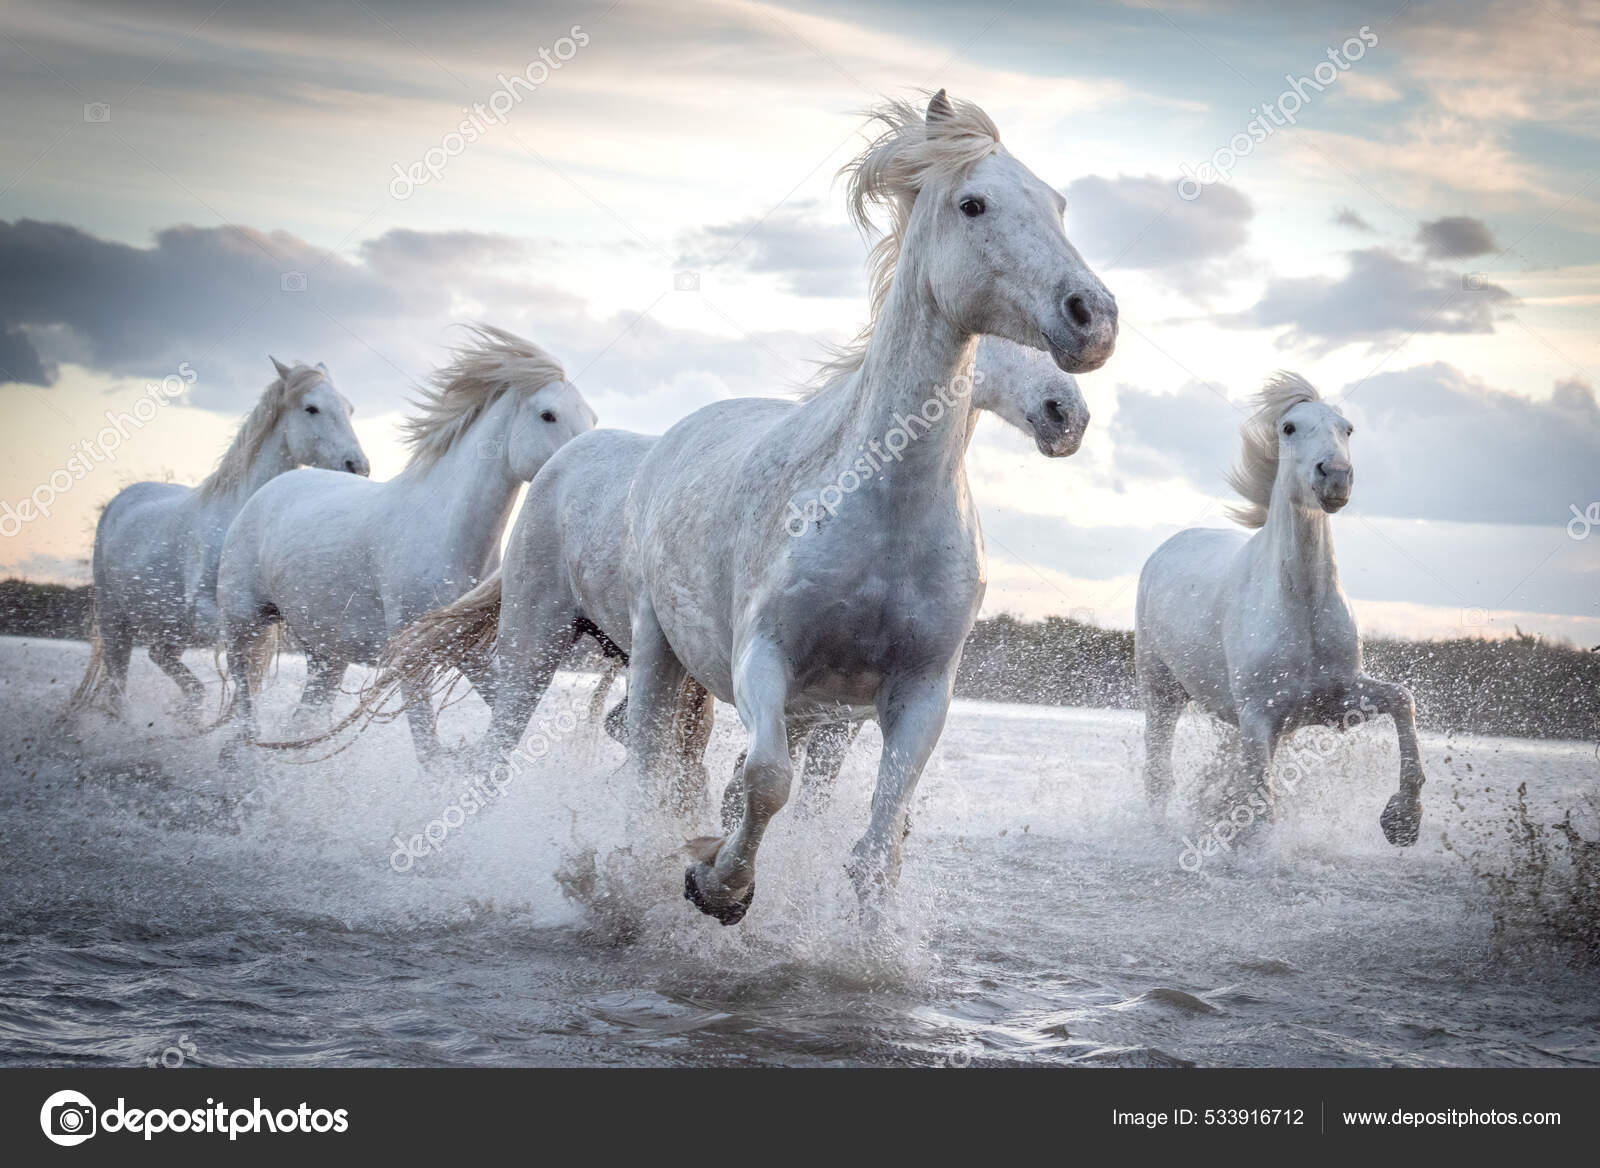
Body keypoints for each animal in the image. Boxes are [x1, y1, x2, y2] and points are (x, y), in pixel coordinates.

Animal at [68, 358, 369, 719]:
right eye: (311, 408)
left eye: (349, 408)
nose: (358, 466)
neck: (239, 516)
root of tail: (120, 501)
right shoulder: (212, 613)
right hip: (116, 621)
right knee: (118, 685)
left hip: (169, 627)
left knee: (162, 658)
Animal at [212, 326, 596, 762]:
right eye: (548, 414)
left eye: (591, 416)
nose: (582, 473)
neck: (446, 534)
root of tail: (264, 493)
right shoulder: (412, 657)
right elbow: (429, 755)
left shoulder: (469, 651)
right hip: (242, 626)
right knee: (245, 709)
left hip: (325, 653)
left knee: (302, 720)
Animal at [625, 91, 1115, 923]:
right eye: (973, 203)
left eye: (1056, 204)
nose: (1094, 319)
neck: (886, 511)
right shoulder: (765, 659)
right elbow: (766, 783)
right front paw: (718, 887)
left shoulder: (916, 694)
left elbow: (878, 843)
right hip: (659, 652)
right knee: (647, 768)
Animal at [1133, 372, 1425, 849]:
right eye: (1289, 427)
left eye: (1347, 428)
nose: (1336, 477)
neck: (1301, 607)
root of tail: (1169, 547)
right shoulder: (1258, 717)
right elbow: (1261, 806)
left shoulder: (1337, 701)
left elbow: (1403, 699)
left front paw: (1403, 820)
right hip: (1161, 692)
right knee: (1158, 771)